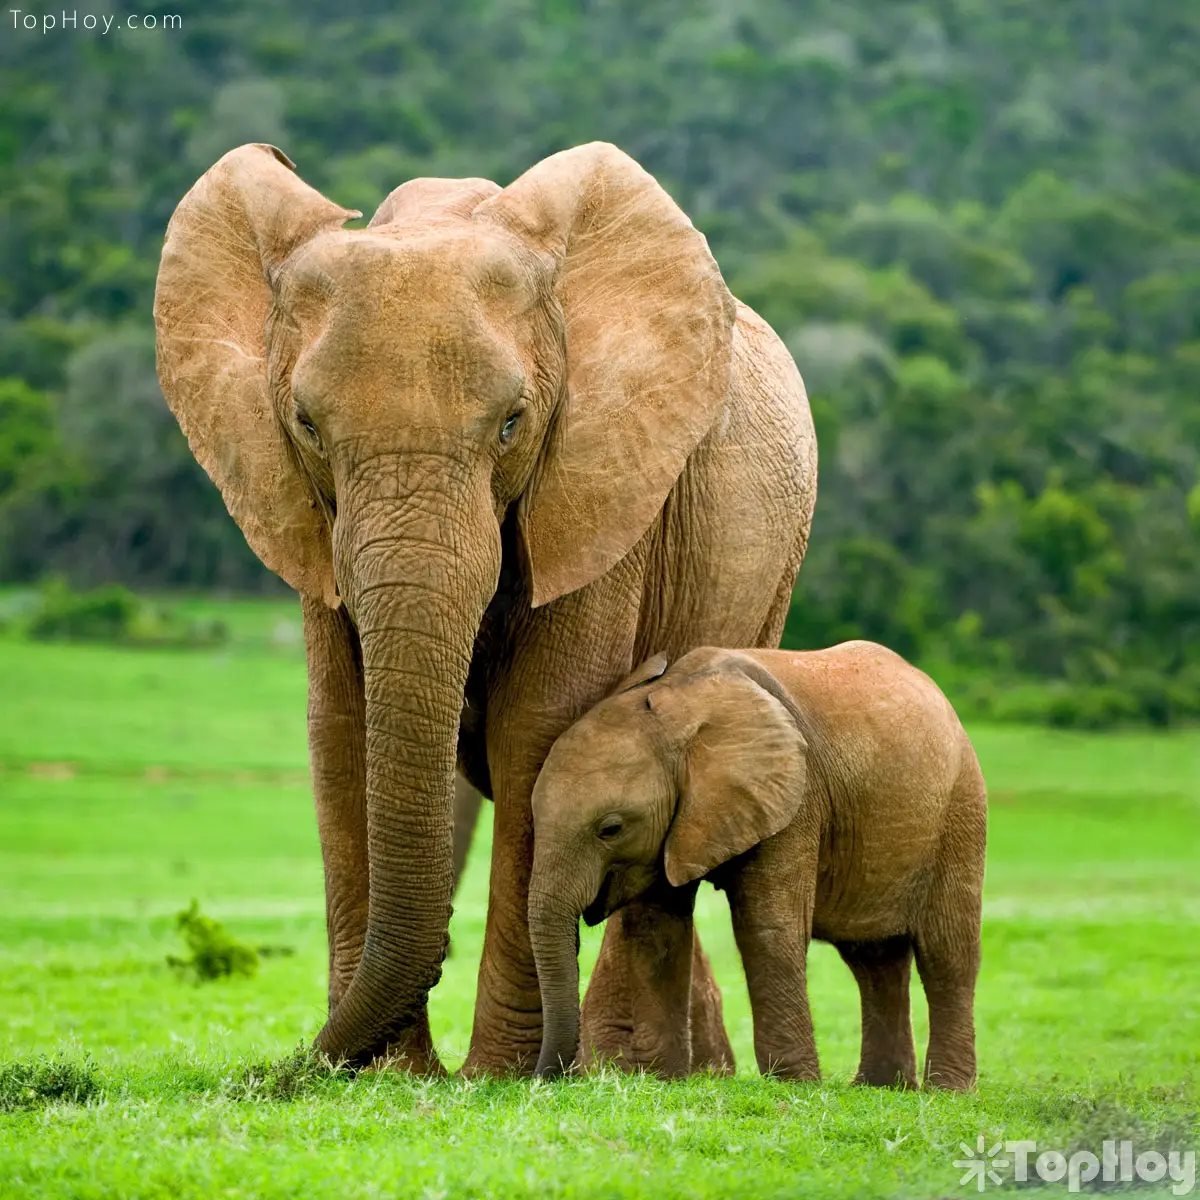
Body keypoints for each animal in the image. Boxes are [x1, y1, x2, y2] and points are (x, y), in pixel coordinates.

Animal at [153, 140, 817, 1073]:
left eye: (512, 423)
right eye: (307, 425)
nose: (290, 1070)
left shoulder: (600, 481)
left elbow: (538, 727)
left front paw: (496, 1076)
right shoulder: (306, 517)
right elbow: (342, 728)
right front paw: (389, 1075)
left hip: (771, 573)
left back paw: (632, 1066)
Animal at [527, 643, 987, 1088]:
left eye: (611, 828)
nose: (547, 1078)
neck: (678, 709)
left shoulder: (795, 798)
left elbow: (766, 927)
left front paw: (793, 1084)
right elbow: (657, 928)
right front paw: (662, 1079)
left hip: (961, 809)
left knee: (947, 953)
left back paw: (948, 1089)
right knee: (872, 959)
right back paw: (880, 1087)